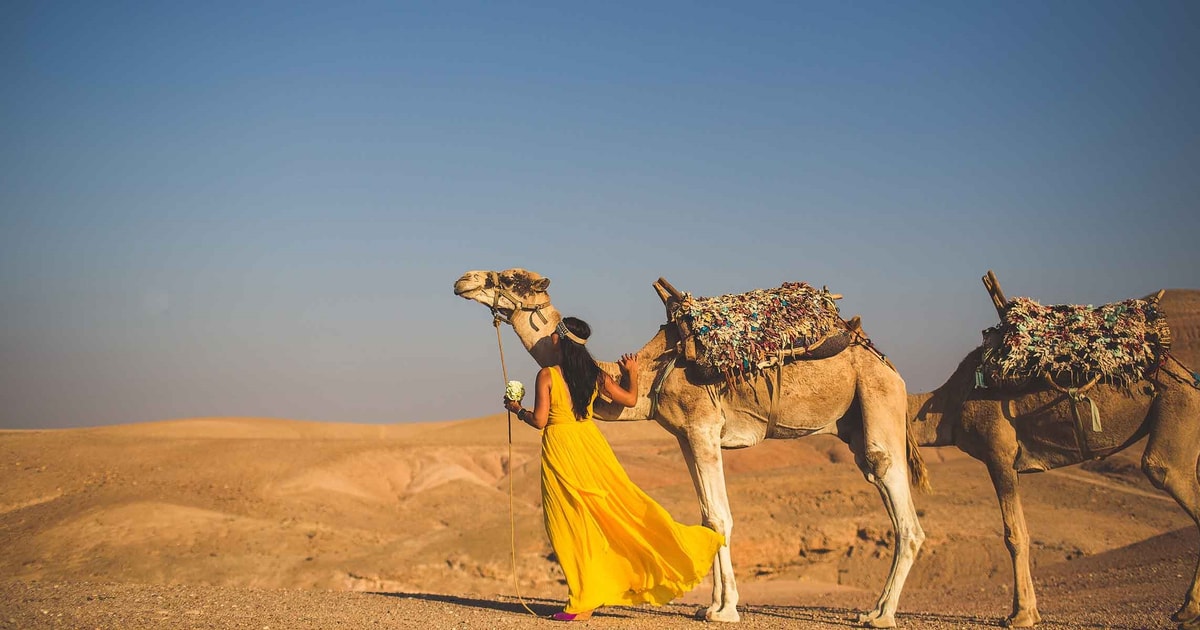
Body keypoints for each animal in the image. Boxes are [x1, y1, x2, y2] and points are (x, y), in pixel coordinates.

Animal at [454, 268, 929, 626]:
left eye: (511, 278)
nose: (464, 280)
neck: (651, 372)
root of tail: (888, 364)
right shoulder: (685, 436)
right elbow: (706, 517)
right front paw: (711, 605)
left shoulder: (703, 427)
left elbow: (720, 517)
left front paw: (725, 611)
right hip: (854, 421)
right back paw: (877, 609)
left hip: (878, 398)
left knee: (900, 504)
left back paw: (880, 615)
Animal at [908, 287, 1200, 629]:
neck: (948, 404)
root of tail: (1189, 375)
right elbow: (1022, 530)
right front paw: (1031, 611)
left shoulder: (998, 453)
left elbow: (1014, 534)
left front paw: (1020, 614)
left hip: (1178, 402)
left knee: (1162, 468)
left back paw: (1188, 609)